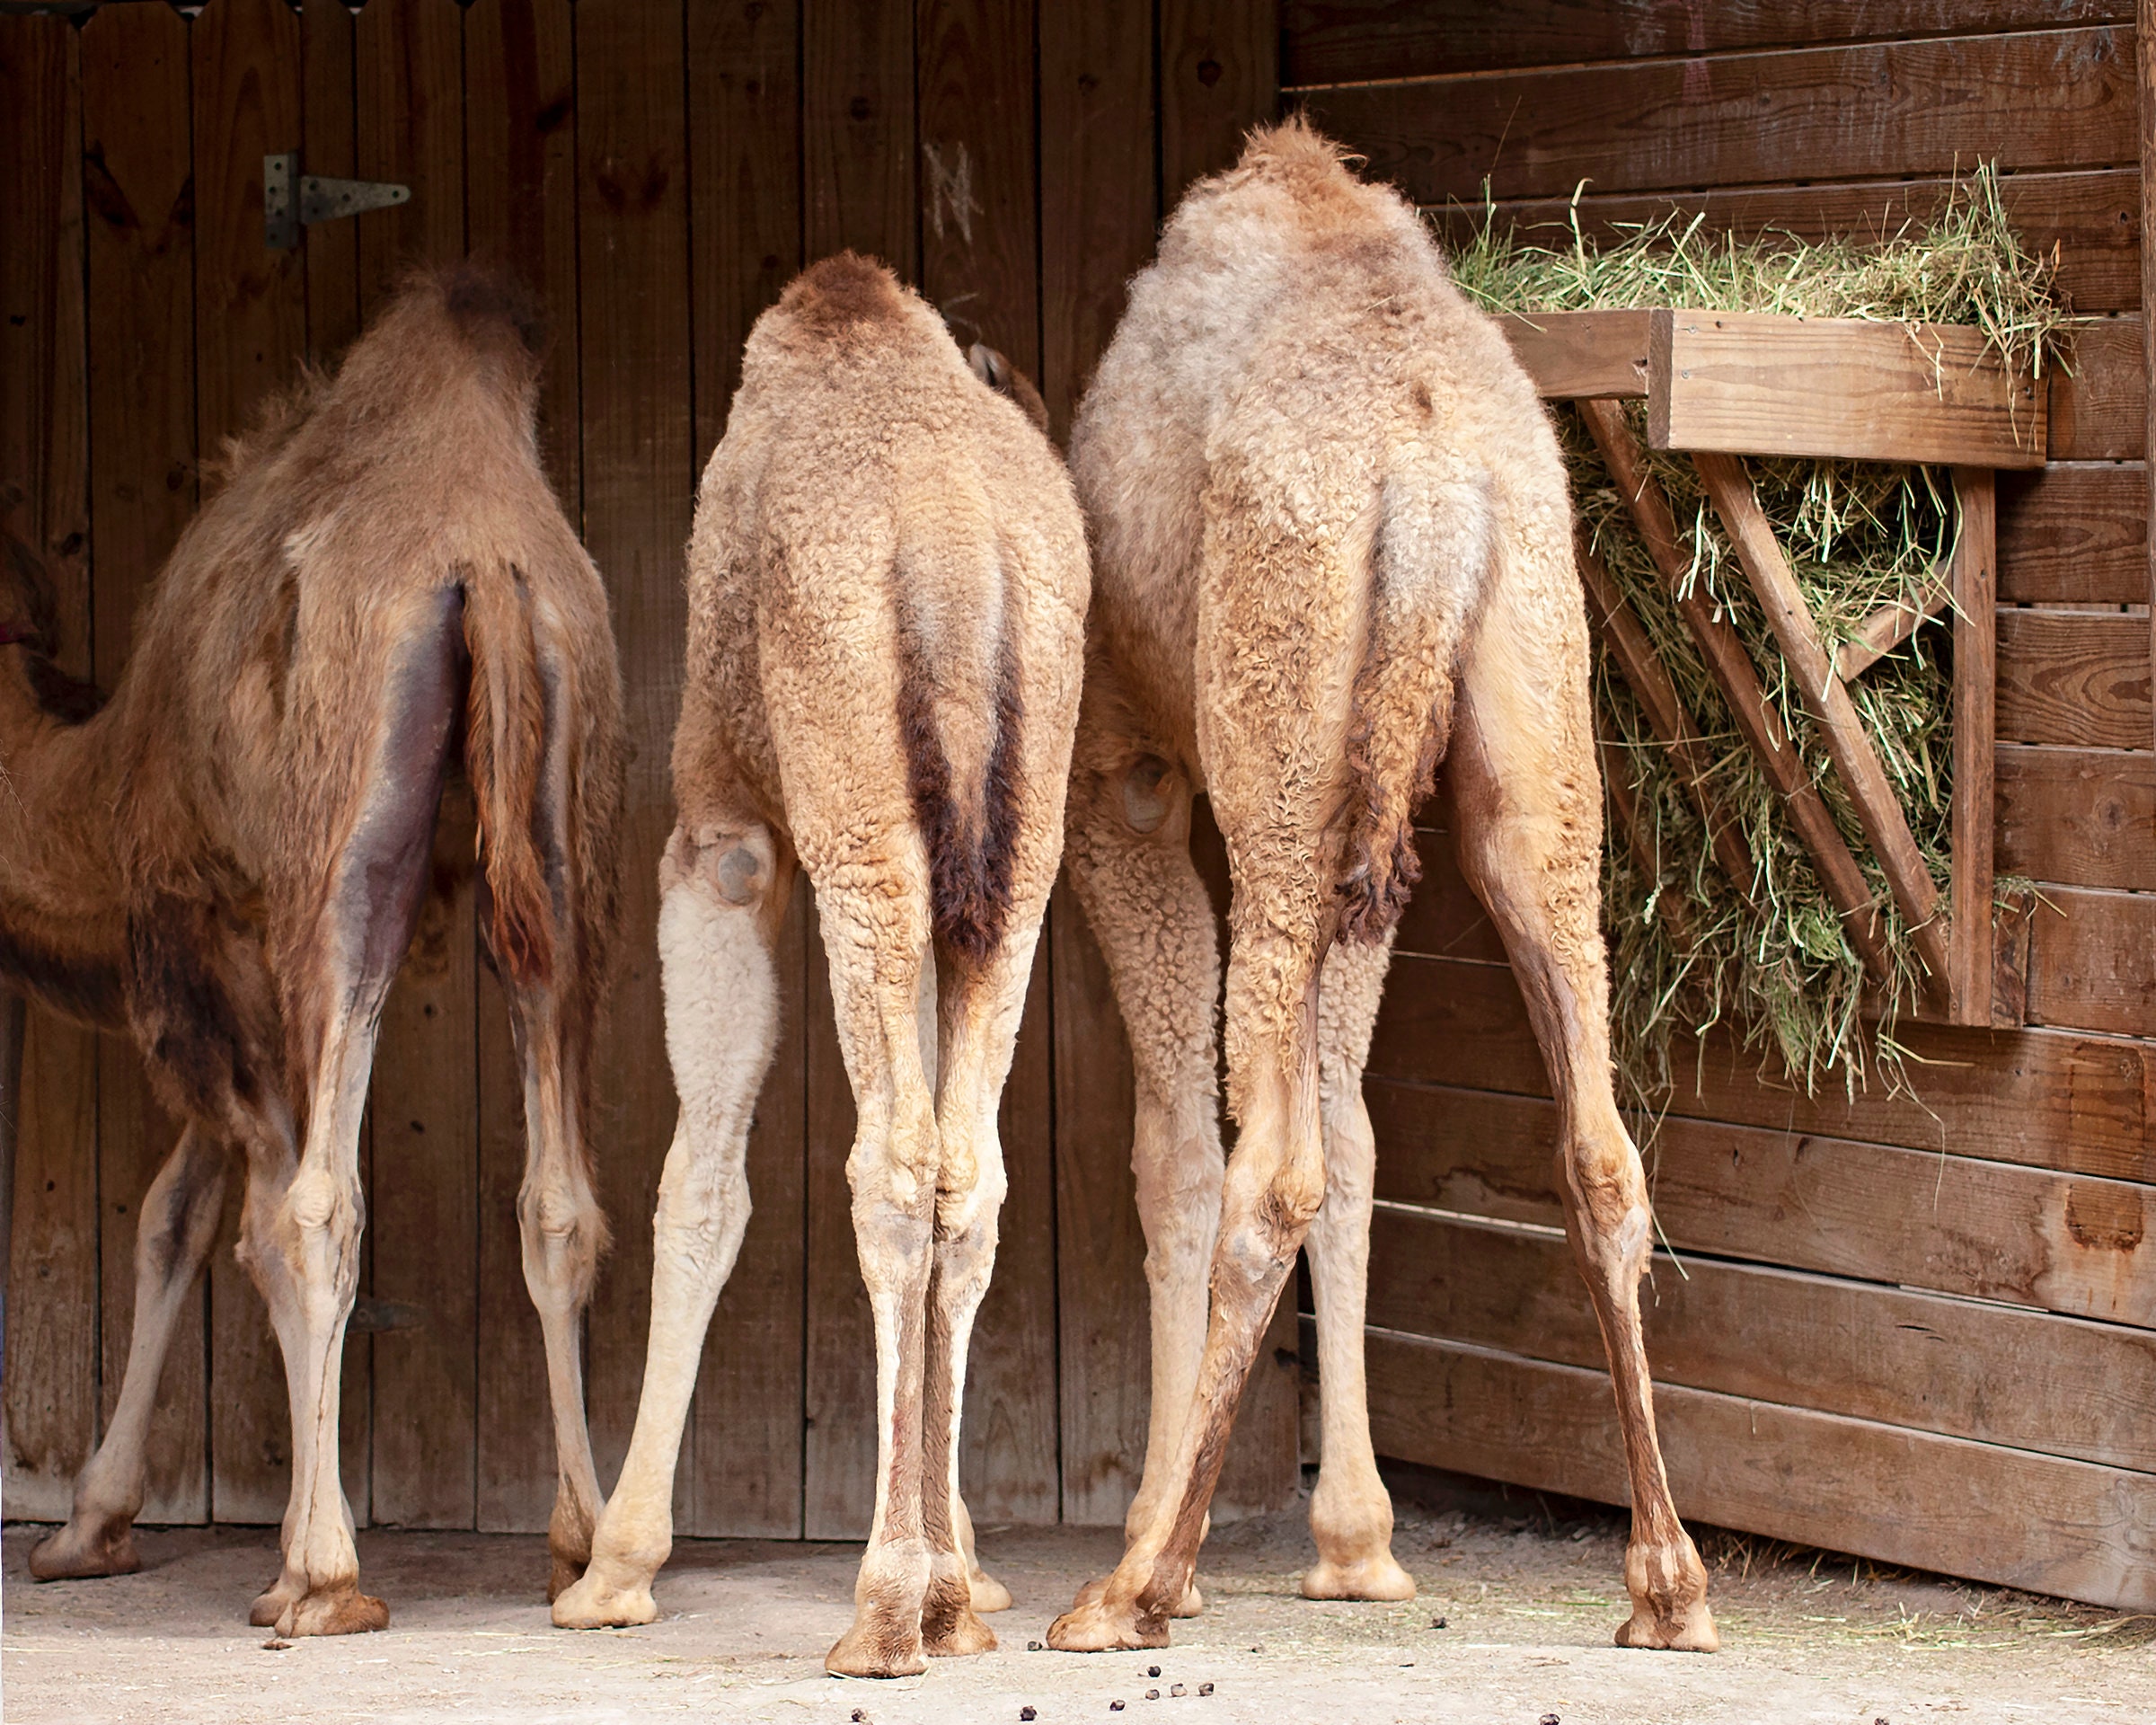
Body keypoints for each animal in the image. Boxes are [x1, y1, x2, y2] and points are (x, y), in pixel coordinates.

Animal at [0, 268, 626, 1636]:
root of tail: (482, 565)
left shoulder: (191, 948)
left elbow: (218, 1217)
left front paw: (198, 1532)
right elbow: (180, 1211)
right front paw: (88, 1525)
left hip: (343, 879)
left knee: (318, 1209)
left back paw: (324, 1585)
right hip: (563, 853)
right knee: (557, 1196)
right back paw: (585, 1549)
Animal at [550, 253, 1087, 1678]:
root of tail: (960, 556)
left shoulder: (723, 837)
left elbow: (700, 1186)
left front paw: (615, 1568)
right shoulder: (957, 879)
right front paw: (977, 1566)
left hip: (857, 834)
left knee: (892, 1168)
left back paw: (888, 1609)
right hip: (1011, 864)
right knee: (972, 1173)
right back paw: (946, 1596)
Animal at [1044, 119, 1717, 1656]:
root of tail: (1433, 478)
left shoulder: (1124, 775)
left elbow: (1176, 1149)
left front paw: (1178, 1532)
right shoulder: (1380, 829)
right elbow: (1359, 1134)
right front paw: (1357, 1544)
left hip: (1282, 766)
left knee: (1264, 1167)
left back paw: (1132, 1590)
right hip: (1520, 735)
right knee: (1600, 1152)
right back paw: (1667, 1585)